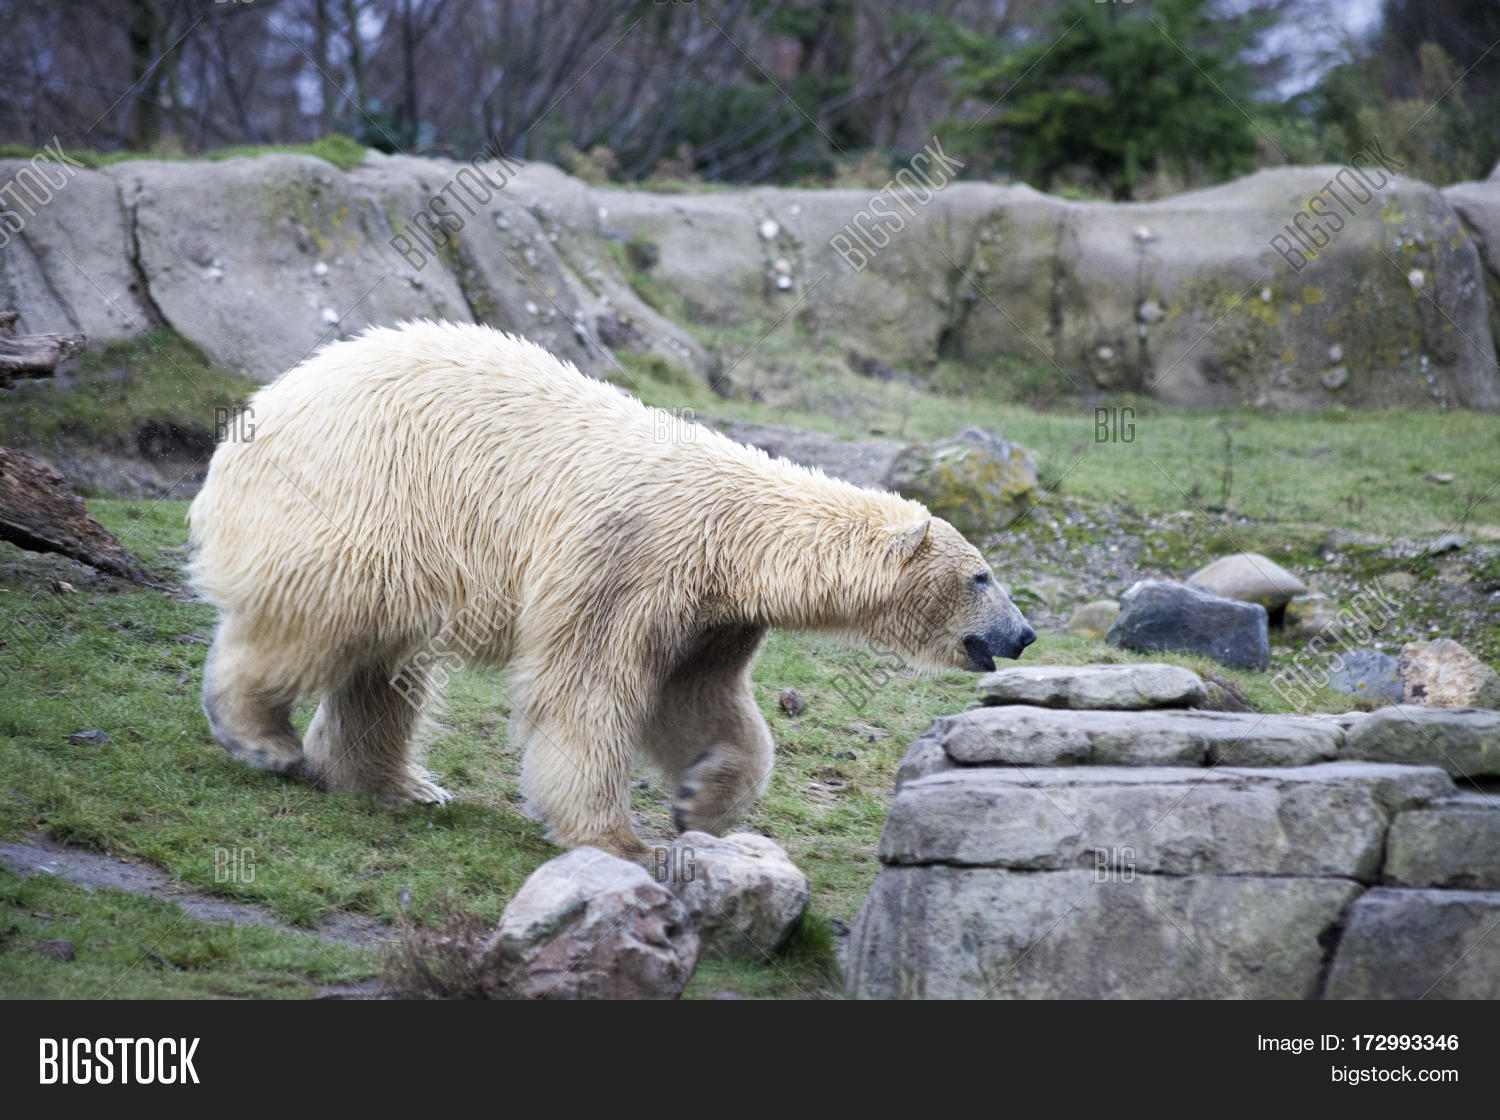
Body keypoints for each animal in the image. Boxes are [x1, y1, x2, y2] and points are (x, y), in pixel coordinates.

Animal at [187, 321, 1035, 859]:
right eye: (982, 575)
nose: (1023, 633)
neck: (732, 527)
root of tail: (263, 406)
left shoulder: (711, 613)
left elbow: (698, 701)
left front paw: (700, 799)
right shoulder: (627, 560)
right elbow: (585, 688)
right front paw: (615, 838)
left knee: (386, 667)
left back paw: (397, 785)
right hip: (367, 500)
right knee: (321, 619)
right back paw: (261, 736)